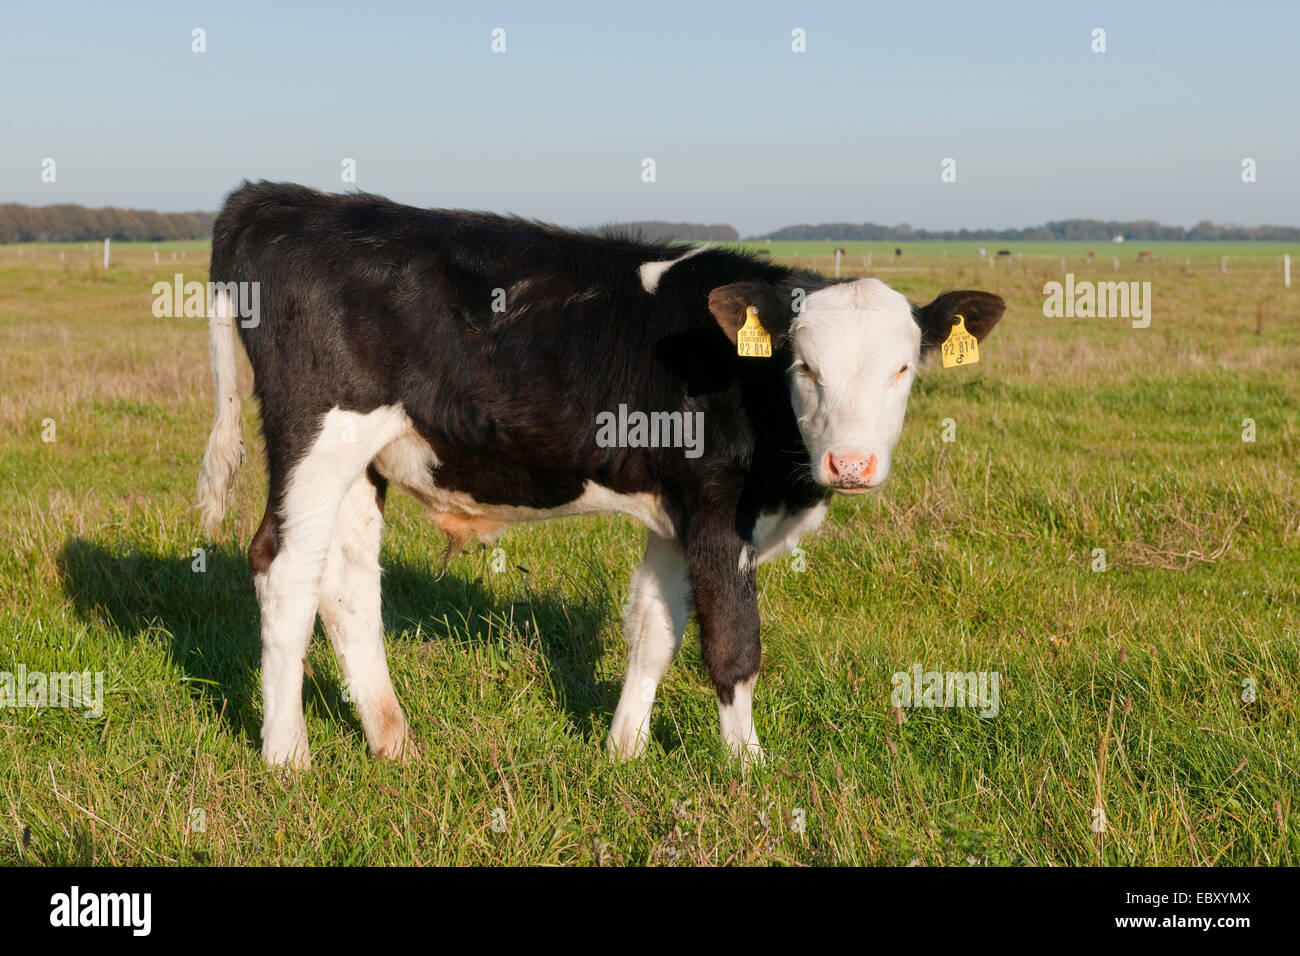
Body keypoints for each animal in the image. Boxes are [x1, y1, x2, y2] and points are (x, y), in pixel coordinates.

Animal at [197, 182, 1005, 770]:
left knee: (348, 582)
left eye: (903, 370)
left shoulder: (677, 513)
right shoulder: (719, 506)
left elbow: (654, 628)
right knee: (284, 570)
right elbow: (733, 642)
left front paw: (623, 753)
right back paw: (287, 756)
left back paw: (394, 743)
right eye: (803, 365)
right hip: (317, 434)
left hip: (367, 457)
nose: (853, 464)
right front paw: (748, 769)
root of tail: (279, 199)